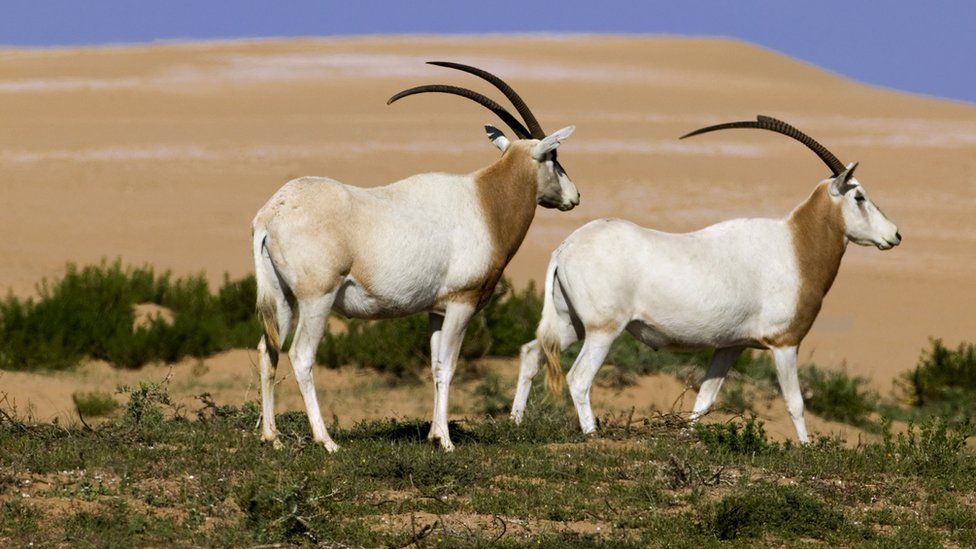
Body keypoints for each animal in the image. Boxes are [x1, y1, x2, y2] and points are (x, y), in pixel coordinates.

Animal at [252, 62, 579, 452]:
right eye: (554, 158)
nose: (575, 196)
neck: (486, 201)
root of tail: (273, 211)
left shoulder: (436, 311)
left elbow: (436, 366)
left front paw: (435, 435)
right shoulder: (462, 303)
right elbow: (449, 367)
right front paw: (448, 442)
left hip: (283, 297)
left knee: (267, 350)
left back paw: (272, 436)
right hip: (317, 298)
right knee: (301, 356)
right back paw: (326, 441)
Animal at [510, 116, 900, 442]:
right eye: (860, 196)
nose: (895, 235)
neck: (795, 244)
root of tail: (565, 248)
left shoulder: (730, 345)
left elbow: (705, 398)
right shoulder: (785, 344)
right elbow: (795, 402)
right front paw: (806, 449)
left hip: (570, 323)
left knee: (531, 354)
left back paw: (515, 422)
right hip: (602, 331)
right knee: (578, 378)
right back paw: (591, 434)